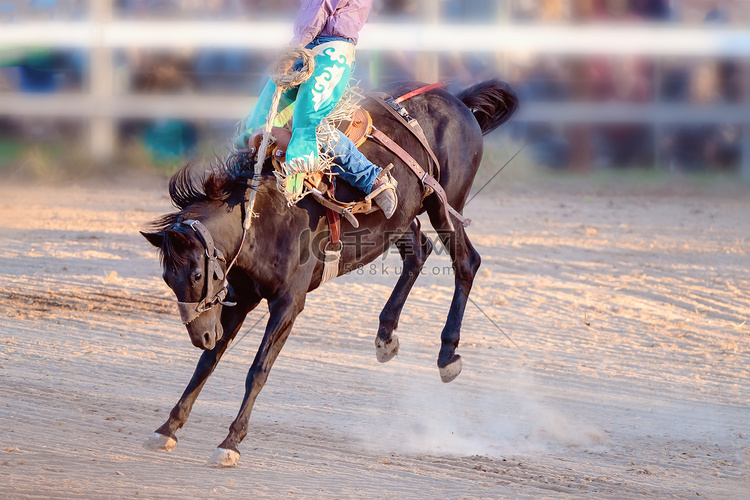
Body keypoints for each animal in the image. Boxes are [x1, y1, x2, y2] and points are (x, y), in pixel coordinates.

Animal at [141, 79, 519, 467]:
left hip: (445, 207)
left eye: (196, 275)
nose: (200, 334)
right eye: (168, 279)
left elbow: (258, 370)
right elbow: (208, 361)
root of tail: (458, 101)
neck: (264, 217)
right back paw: (386, 335)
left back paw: (447, 355)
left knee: (466, 262)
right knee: (418, 252)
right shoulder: (240, 298)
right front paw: (167, 428)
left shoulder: (288, 303)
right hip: (399, 221)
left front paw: (230, 442)